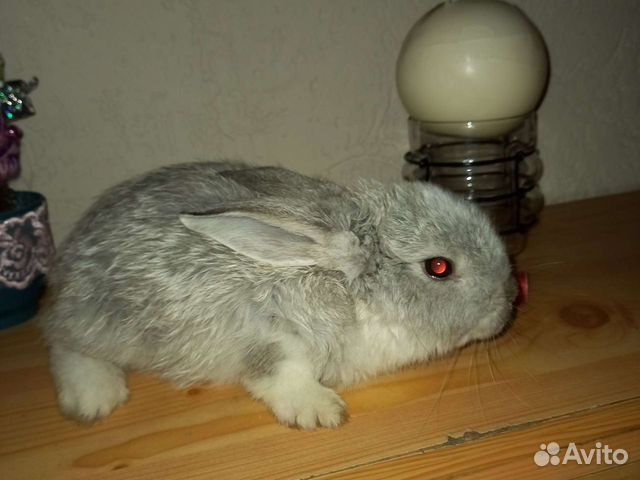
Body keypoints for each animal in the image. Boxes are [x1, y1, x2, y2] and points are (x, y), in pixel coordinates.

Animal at [40, 161, 517, 430]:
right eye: (439, 267)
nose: (511, 299)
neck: (352, 288)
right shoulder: (273, 333)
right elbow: (277, 373)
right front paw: (321, 411)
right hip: (109, 321)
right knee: (63, 343)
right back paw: (94, 398)